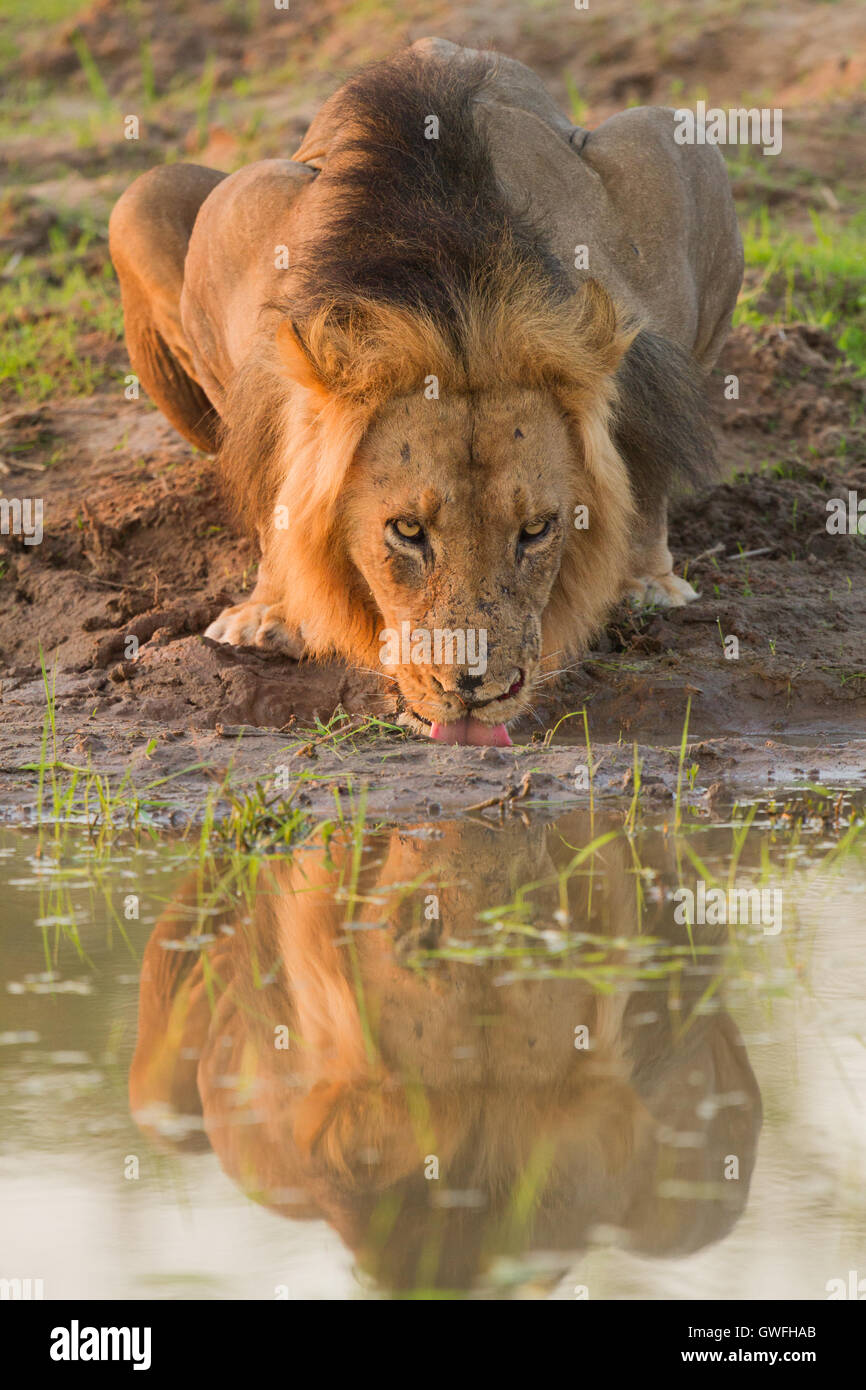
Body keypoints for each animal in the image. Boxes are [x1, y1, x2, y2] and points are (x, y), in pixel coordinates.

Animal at [109, 38, 743, 745]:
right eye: (406, 530)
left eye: (537, 529)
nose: (475, 692)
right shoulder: (236, 228)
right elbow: (280, 483)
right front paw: (268, 613)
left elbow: (646, 467)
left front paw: (644, 581)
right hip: (142, 196)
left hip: (675, 137)